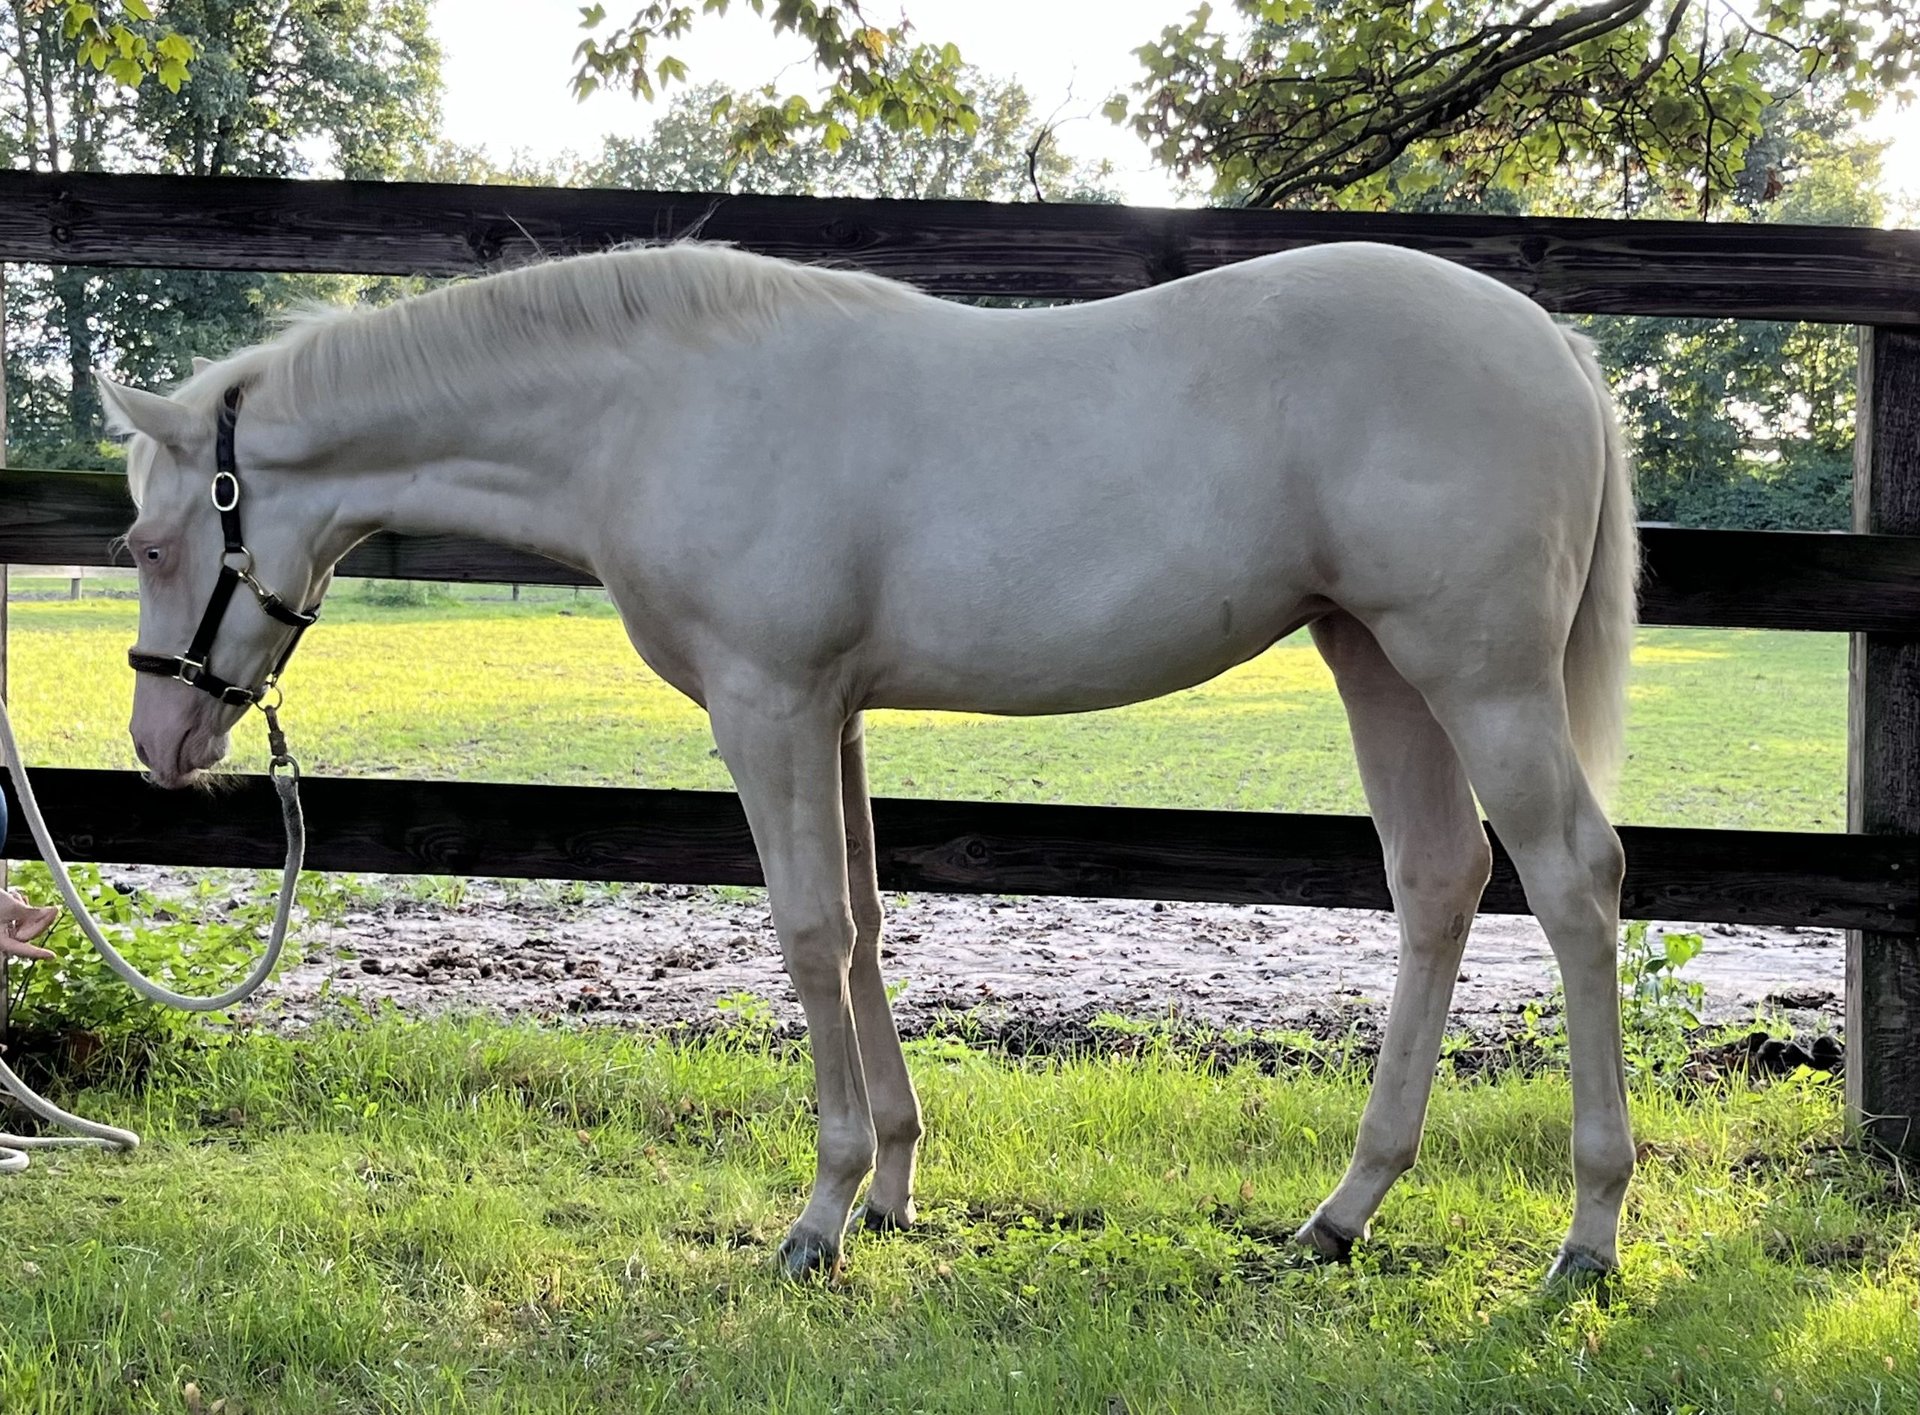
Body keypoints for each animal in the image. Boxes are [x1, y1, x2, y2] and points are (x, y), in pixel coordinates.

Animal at [97, 238, 1638, 1284]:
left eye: (151, 543)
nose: (161, 743)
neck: (658, 408)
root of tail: (1558, 349)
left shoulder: (766, 701)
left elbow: (807, 930)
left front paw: (823, 1212)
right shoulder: (830, 710)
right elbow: (868, 921)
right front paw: (893, 1180)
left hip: (1477, 673)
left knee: (1573, 878)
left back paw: (1590, 1231)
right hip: (1375, 658)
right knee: (1438, 881)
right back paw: (1345, 1208)